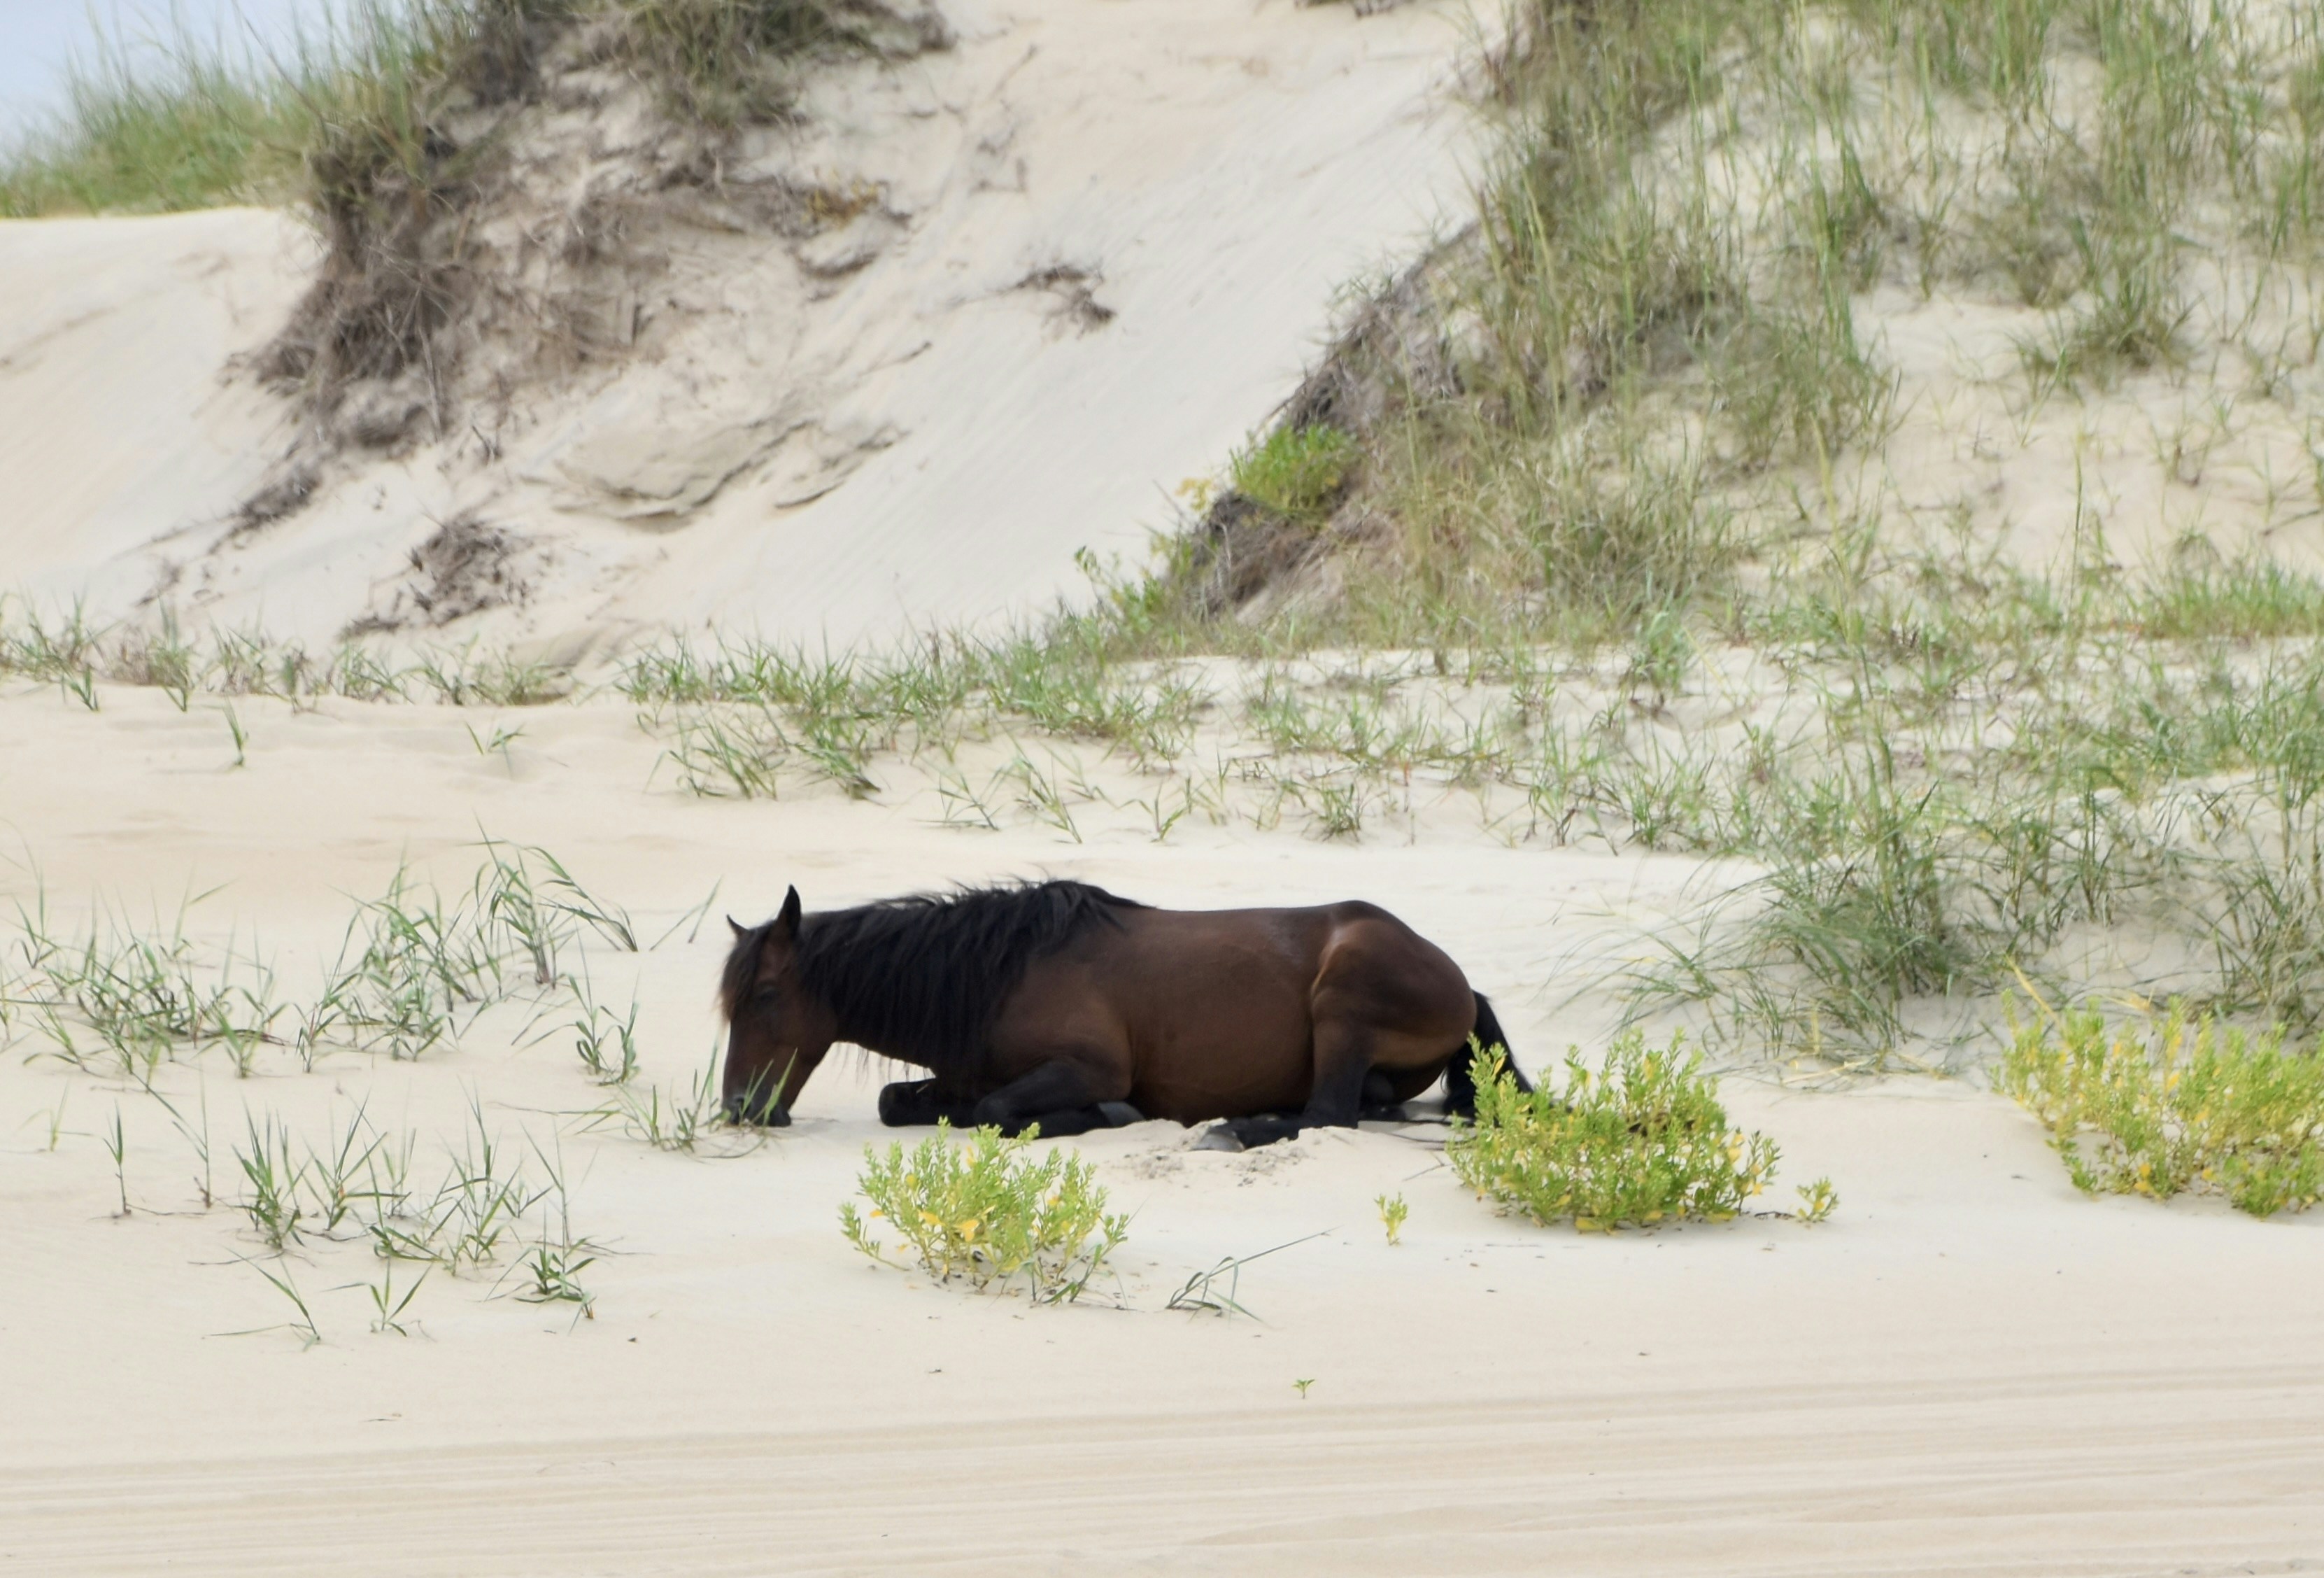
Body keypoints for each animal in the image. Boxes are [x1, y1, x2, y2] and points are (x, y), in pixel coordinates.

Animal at [716, 878, 1525, 1150]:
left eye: (765, 996)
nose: (740, 1108)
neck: (1000, 973)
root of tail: (1463, 984)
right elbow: (899, 1102)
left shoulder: (1089, 1065)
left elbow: (1001, 1109)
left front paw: (1110, 1115)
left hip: (1347, 990)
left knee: (1330, 1113)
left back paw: (1237, 1128)